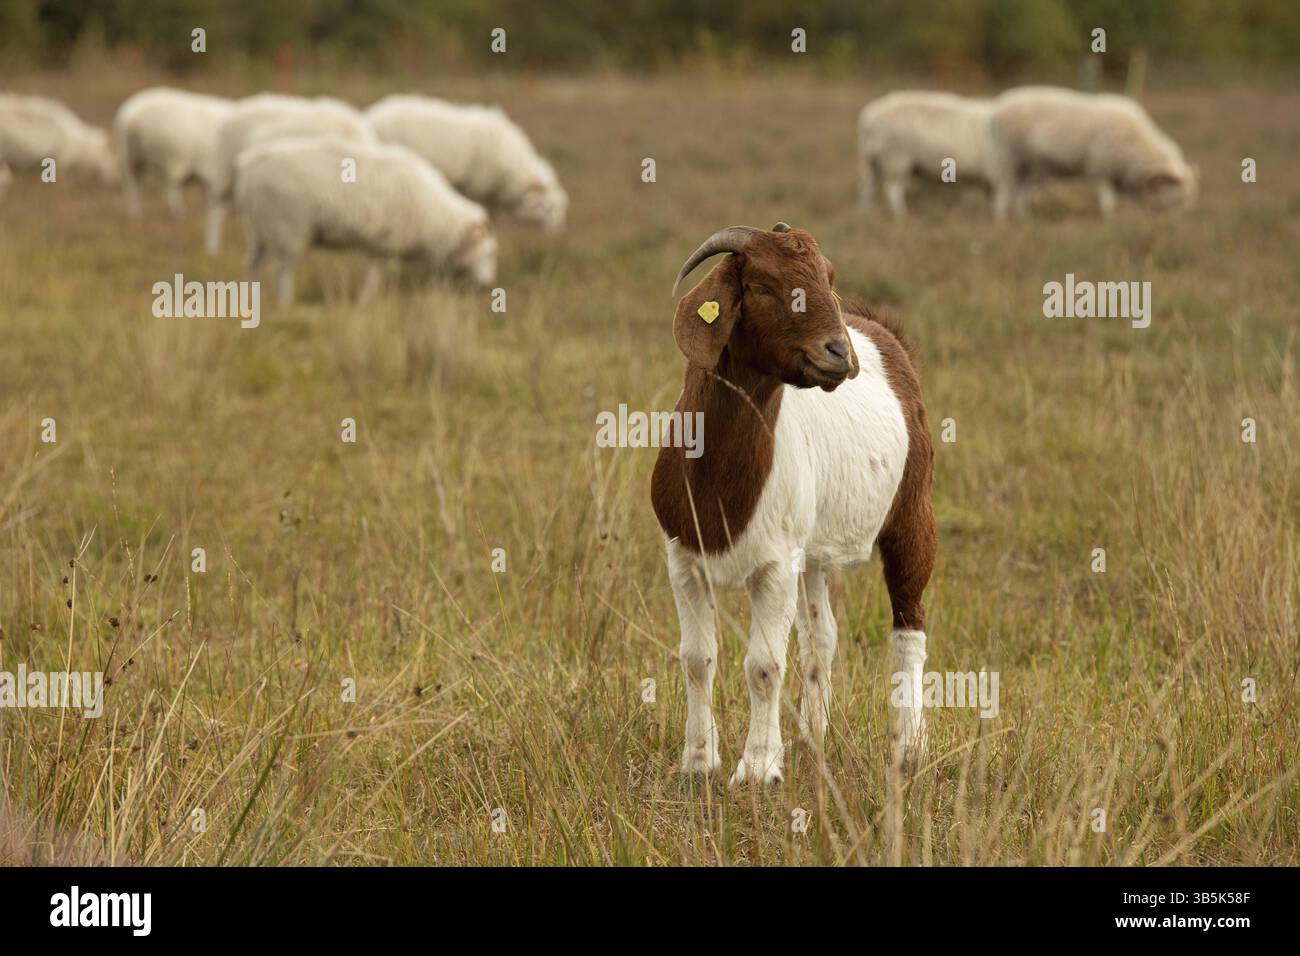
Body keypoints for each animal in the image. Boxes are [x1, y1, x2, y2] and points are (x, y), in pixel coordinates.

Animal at [651, 223, 937, 784]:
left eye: (828, 279)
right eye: (762, 287)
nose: (838, 353)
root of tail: (882, 331)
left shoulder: (775, 563)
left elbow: (763, 665)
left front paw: (759, 768)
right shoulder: (683, 557)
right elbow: (696, 657)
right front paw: (698, 761)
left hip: (913, 511)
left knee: (908, 626)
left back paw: (910, 746)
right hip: (816, 549)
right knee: (821, 637)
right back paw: (811, 739)